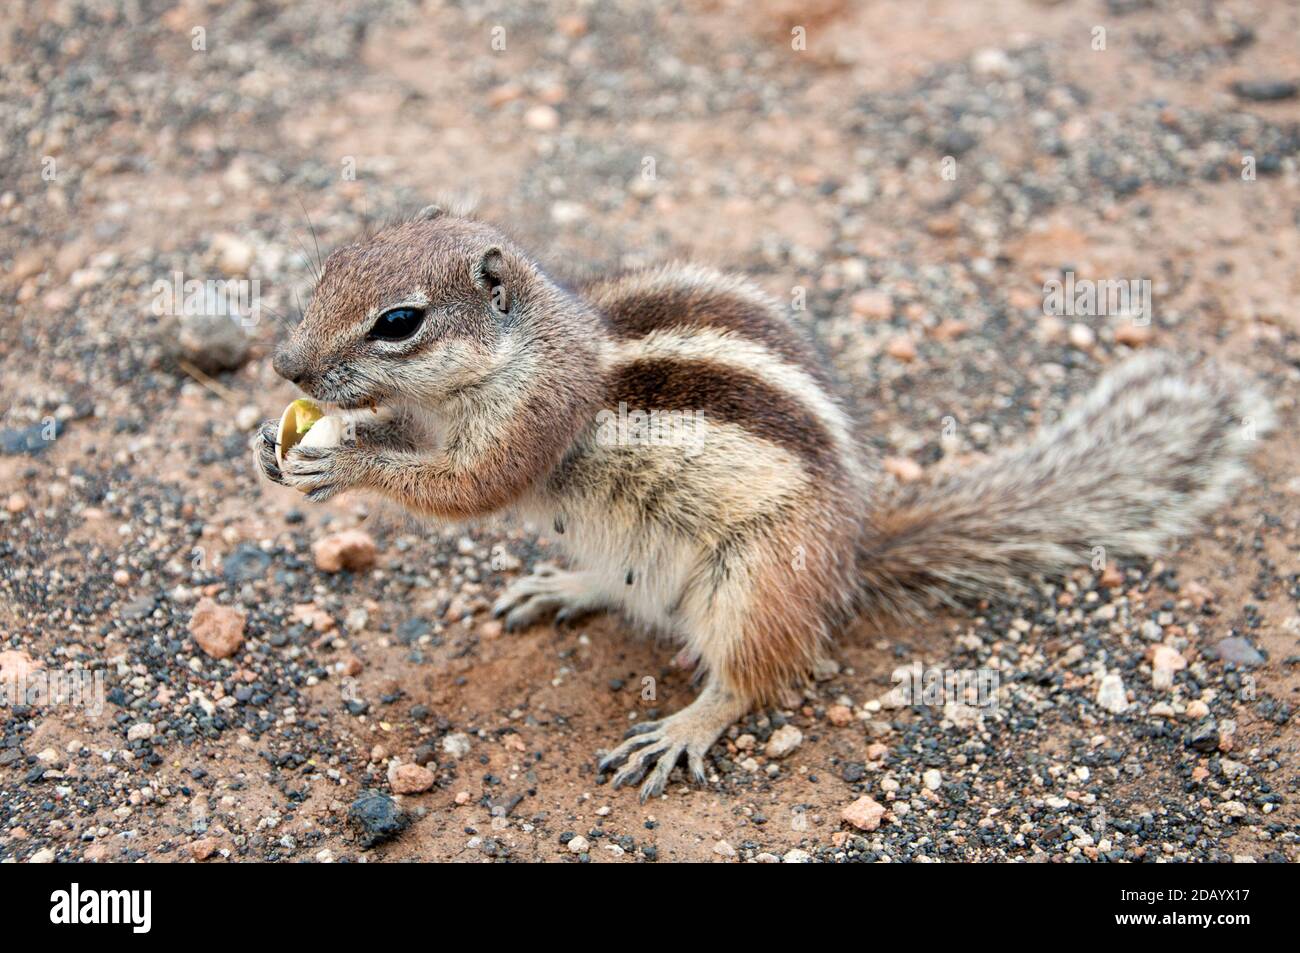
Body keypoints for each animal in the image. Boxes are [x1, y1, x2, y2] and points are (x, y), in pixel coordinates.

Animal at [254, 204, 1273, 801]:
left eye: (400, 322)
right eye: (331, 264)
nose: (286, 365)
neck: (531, 345)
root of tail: (852, 551)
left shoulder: (532, 423)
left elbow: (467, 487)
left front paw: (342, 462)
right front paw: (288, 443)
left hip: (758, 579)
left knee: (752, 673)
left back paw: (684, 725)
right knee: (626, 589)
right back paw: (564, 587)